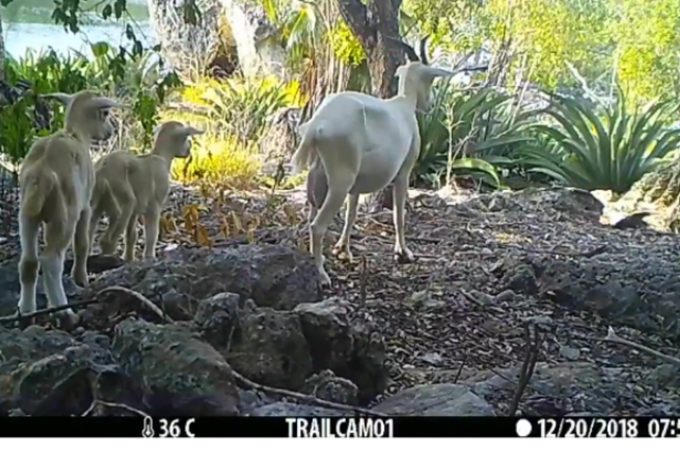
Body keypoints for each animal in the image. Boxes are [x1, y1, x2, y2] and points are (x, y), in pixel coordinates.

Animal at [18, 90, 125, 324]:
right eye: (105, 113)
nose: (110, 132)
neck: (76, 134)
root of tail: (41, 174)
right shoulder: (85, 207)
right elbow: (83, 243)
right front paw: (81, 278)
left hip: (27, 215)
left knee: (29, 262)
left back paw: (27, 311)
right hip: (64, 215)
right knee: (51, 260)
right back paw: (64, 311)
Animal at [88, 121, 204, 262]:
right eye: (186, 138)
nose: (189, 148)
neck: (160, 156)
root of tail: (101, 170)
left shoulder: (136, 211)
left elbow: (131, 235)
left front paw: (129, 259)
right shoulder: (154, 205)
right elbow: (152, 233)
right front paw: (149, 257)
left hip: (94, 201)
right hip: (122, 198)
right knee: (107, 241)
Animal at [292, 36, 486, 287]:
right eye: (431, 78)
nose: (430, 104)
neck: (403, 104)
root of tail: (317, 125)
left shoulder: (357, 185)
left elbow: (351, 214)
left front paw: (344, 251)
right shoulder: (404, 172)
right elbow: (398, 214)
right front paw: (403, 253)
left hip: (317, 178)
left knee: (311, 215)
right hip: (340, 180)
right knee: (317, 225)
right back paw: (322, 275)